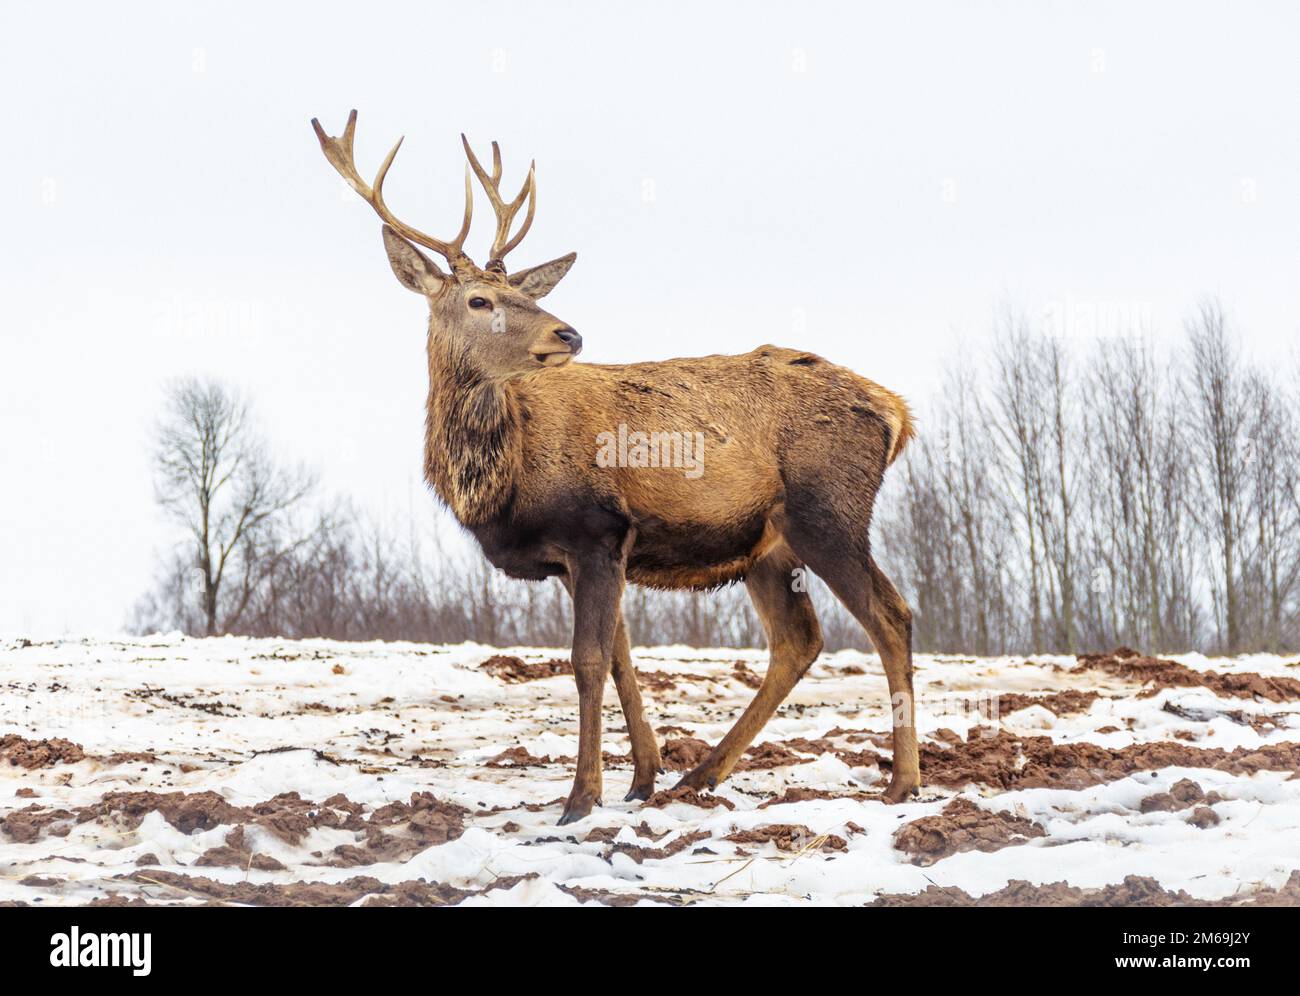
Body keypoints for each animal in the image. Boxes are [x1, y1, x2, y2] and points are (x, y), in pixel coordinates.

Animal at [311, 110, 920, 824]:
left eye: (518, 291)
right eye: (480, 301)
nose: (568, 334)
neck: (499, 479)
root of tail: (895, 412)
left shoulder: (596, 530)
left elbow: (587, 662)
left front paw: (580, 798)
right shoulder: (584, 556)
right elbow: (623, 660)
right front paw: (643, 778)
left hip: (828, 511)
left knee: (891, 616)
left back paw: (903, 783)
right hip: (769, 544)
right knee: (799, 640)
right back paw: (700, 775)